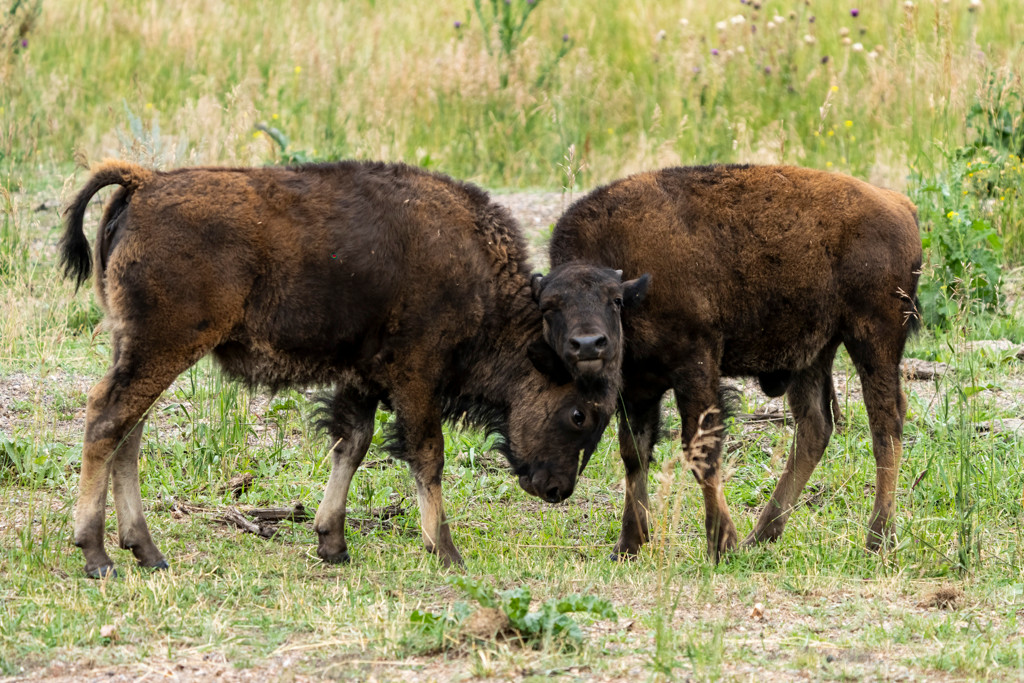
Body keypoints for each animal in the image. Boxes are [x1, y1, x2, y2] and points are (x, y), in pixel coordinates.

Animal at [60, 159, 616, 578]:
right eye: (579, 414)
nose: (556, 490)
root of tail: (145, 182)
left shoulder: (363, 378)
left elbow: (352, 443)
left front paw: (332, 543)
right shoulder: (417, 377)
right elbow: (427, 455)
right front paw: (446, 552)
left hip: (142, 350)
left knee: (129, 432)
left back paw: (147, 552)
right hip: (163, 347)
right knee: (107, 420)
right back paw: (98, 556)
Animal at [535, 164, 921, 561]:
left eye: (614, 300)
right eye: (549, 307)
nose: (588, 345)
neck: (634, 284)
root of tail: (900, 205)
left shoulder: (696, 367)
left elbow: (701, 452)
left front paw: (721, 544)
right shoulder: (636, 388)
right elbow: (634, 455)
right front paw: (628, 545)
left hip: (873, 339)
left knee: (885, 425)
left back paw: (877, 539)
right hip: (813, 353)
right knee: (815, 427)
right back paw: (762, 535)